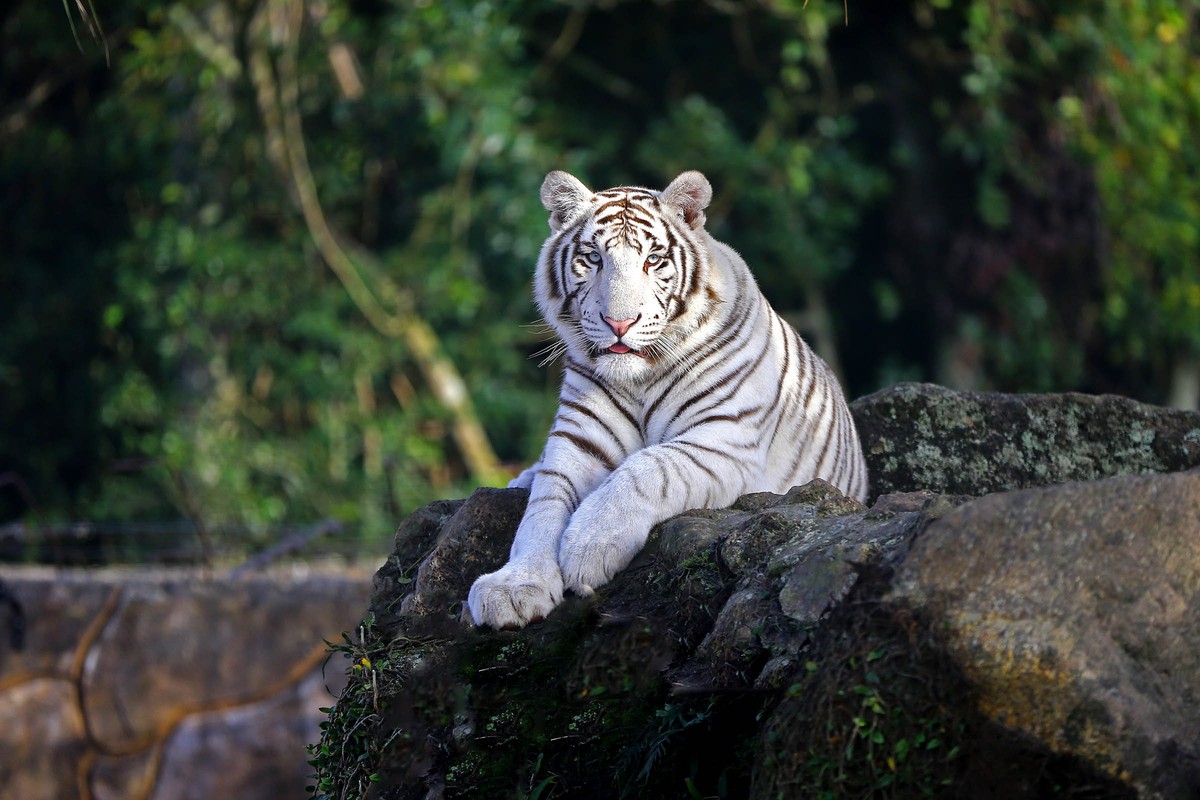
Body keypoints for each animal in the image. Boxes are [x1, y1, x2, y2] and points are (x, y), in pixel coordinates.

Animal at [467, 170, 868, 629]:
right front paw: (515, 586)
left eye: (653, 260)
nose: (619, 323)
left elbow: (647, 468)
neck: (638, 378)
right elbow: (543, 507)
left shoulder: (725, 437)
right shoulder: (578, 441)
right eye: (593, 258)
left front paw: (587, 547)